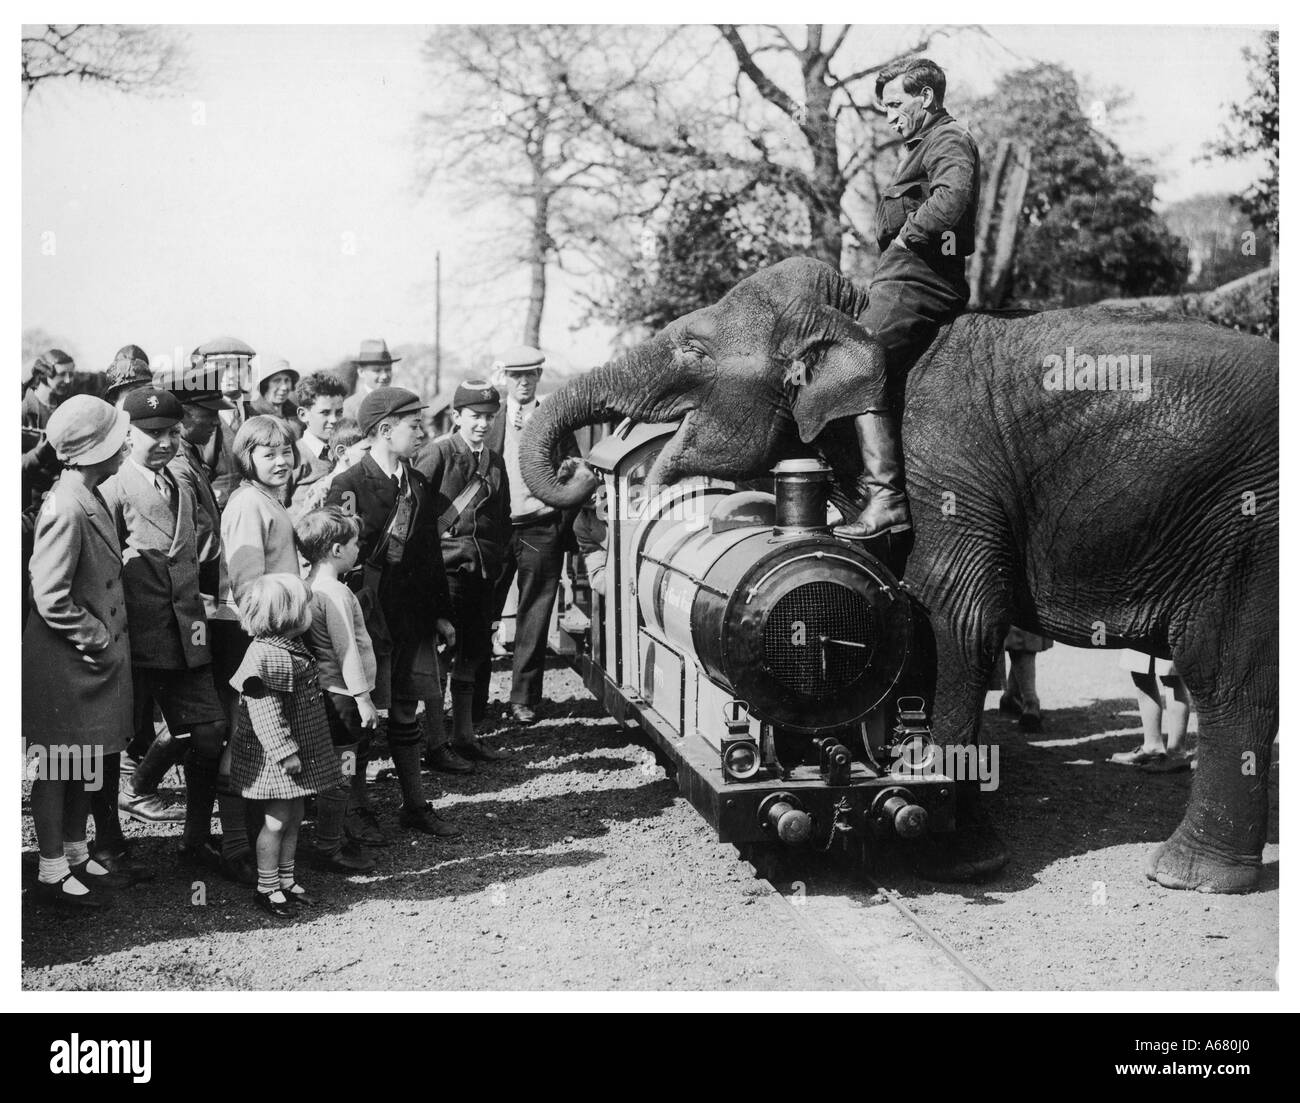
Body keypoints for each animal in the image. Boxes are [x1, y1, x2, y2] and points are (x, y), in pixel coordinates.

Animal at [521, 257, 1278, 895]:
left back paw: (1185, 875)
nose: (583, 471)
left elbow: (957, 620)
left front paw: (953, 854)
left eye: (693, 351)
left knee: (1222, 675)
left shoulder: (946, 474)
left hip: (1243, 522)